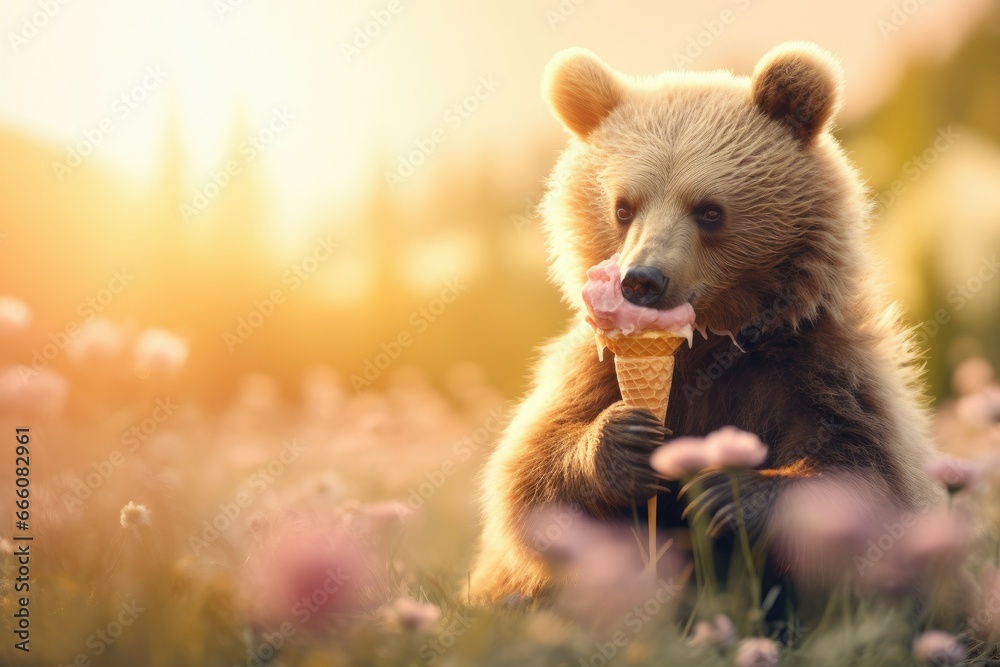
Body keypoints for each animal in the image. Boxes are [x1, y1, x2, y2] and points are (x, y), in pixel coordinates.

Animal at [470, 42, 941, 604]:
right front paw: (627, 441)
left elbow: (866, 474)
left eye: (709, 210)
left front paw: (724, 494)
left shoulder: (820, 370)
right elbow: (527, 479)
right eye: (623, 207)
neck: (706, 342)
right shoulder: (592, 371)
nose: (642, 280)